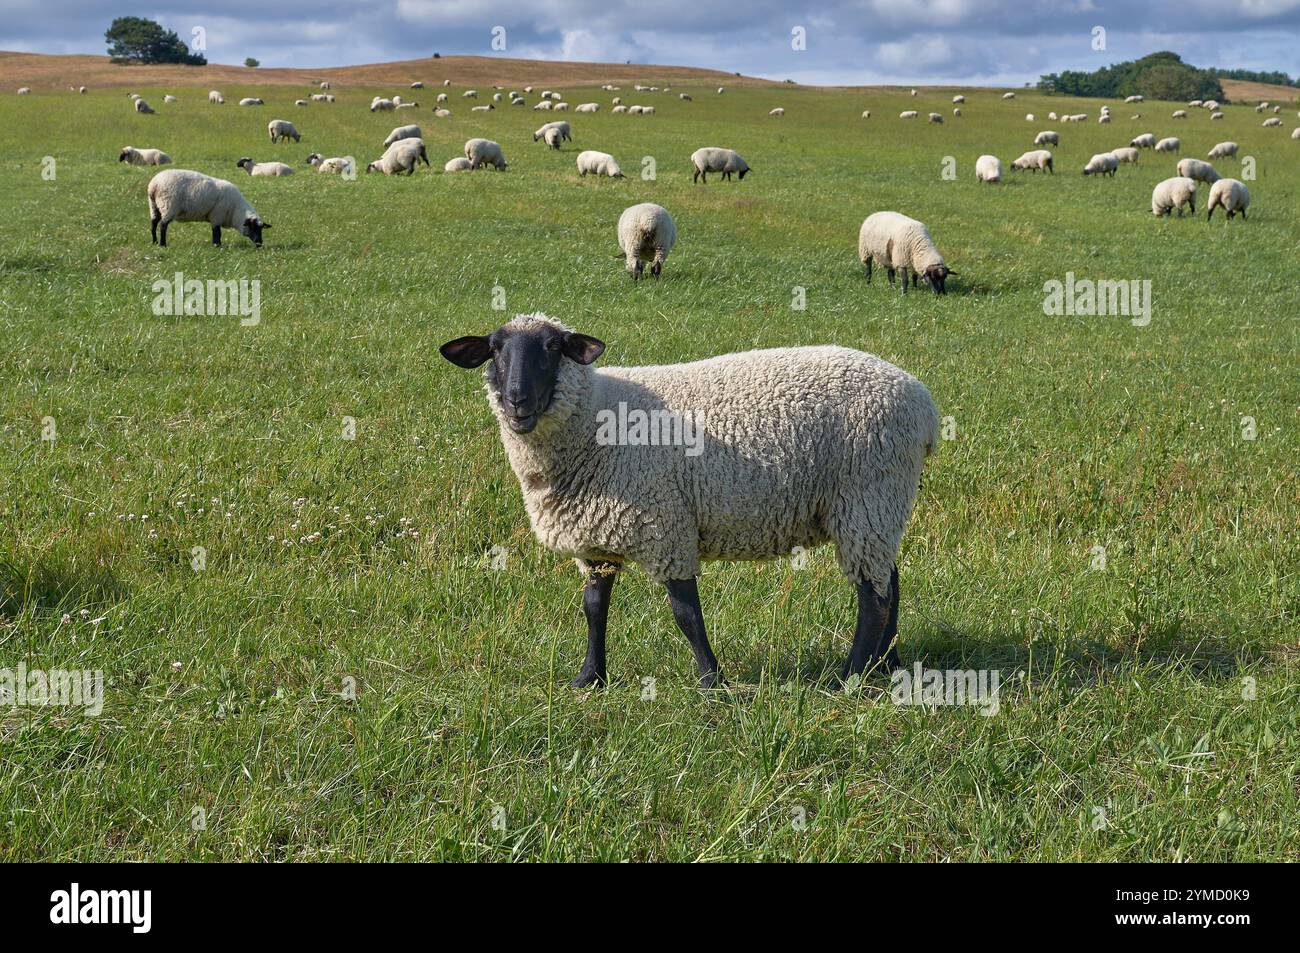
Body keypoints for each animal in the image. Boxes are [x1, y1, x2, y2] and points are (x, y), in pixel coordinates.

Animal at [438, 313, 938, 686]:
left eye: (553, 347)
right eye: (495, 349)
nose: (516, 401)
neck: (594, 420)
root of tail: (923, 401)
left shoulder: (665, 527)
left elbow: (686, 614)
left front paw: (711, 681)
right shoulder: (595, 539)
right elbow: (594, 609)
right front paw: (590, 678)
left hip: (868, 493)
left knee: (873, 596)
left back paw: (849, 676)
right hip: (876, 507)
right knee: (890, 580)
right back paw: (886, 664)